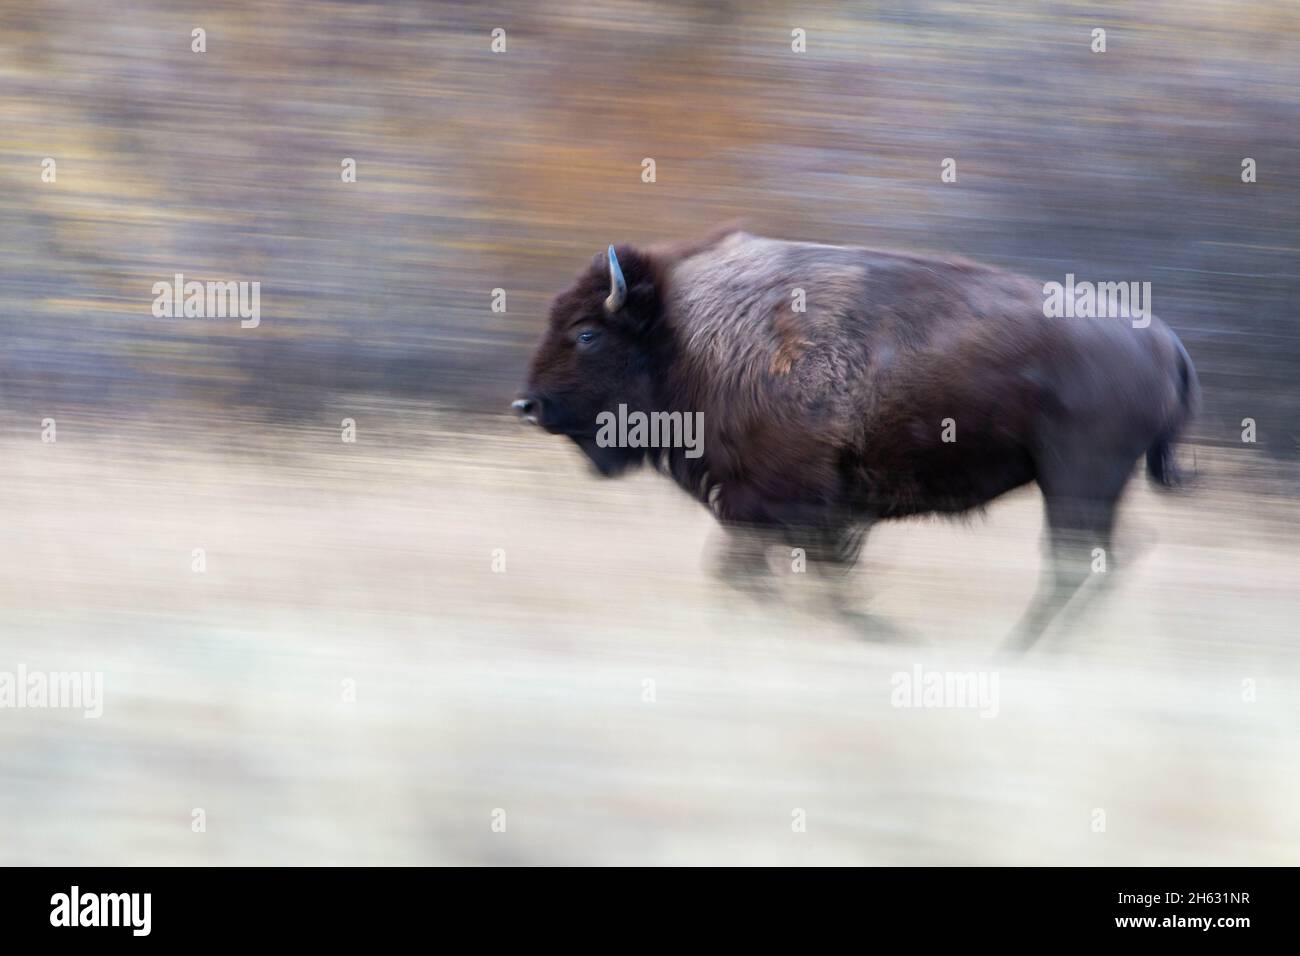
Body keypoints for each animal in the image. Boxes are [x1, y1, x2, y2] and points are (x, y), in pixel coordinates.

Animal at [514, 230, 1198, 647]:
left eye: (586, 333)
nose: (528, 405)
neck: (687, 338)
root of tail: (1163, 339)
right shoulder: (779, 513)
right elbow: (768, 577)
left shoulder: (789, 506)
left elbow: (782, 577)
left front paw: (884, 635)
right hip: (1084, 488)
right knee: (1100, 559)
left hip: (1075, 480)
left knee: (1072, 563)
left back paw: (1013, 653)